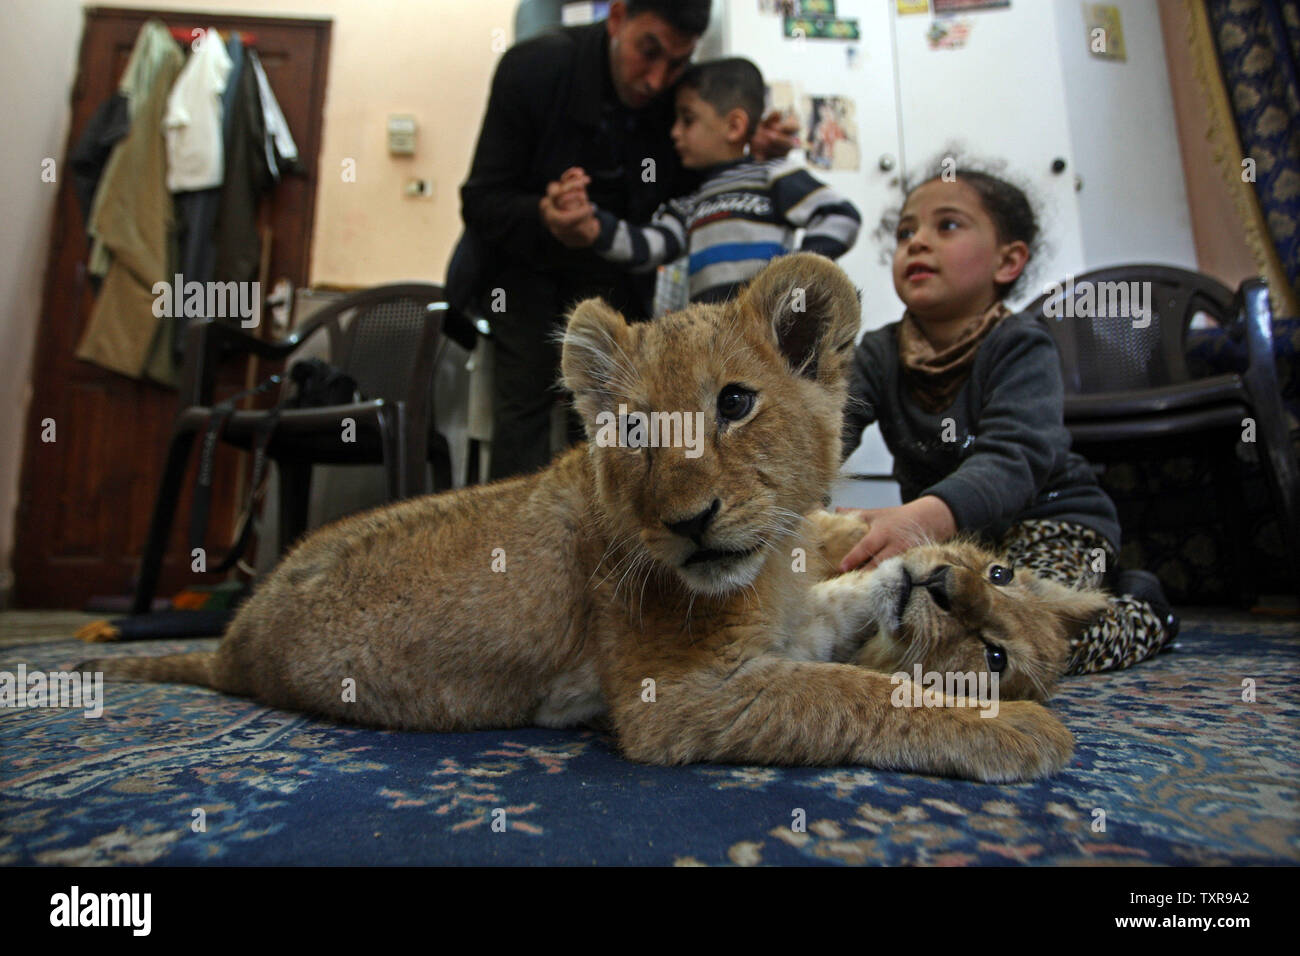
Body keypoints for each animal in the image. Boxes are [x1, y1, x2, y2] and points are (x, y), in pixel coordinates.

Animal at [85, 254, 1106, 782]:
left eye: (737, 404)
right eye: (641, 429)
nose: (691, 523)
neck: (766, 569)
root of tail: (232, 646)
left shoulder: (783, 615)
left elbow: (843, 610)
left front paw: (917, 571)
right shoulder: (678, 701)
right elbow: (848, 694)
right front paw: (1015, 725)